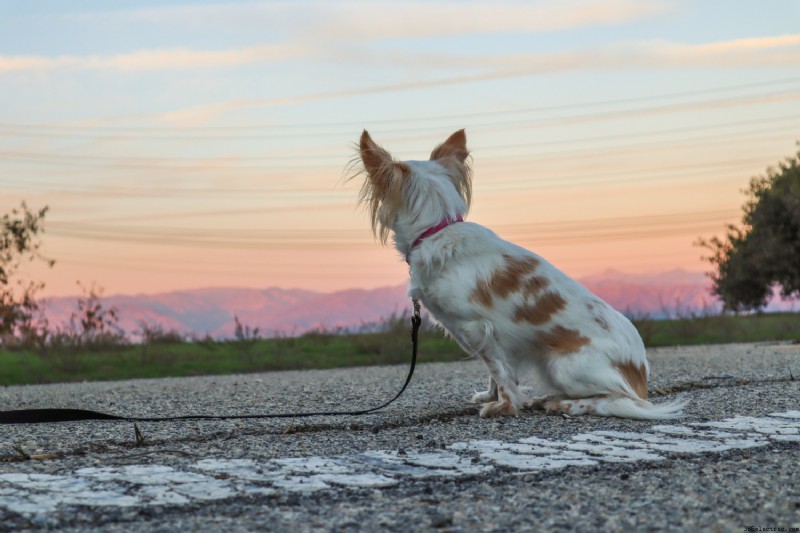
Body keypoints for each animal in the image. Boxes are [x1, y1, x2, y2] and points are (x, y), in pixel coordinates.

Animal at [354, 130, 684, 420]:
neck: (437, 229)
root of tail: (640, 377)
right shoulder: (492, 336)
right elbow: (498, 373)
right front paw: (493, 397)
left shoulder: (478, 328)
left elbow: (499, 372)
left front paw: (505, 406)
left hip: (560, 366)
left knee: (614, 400)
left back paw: (562, 404)